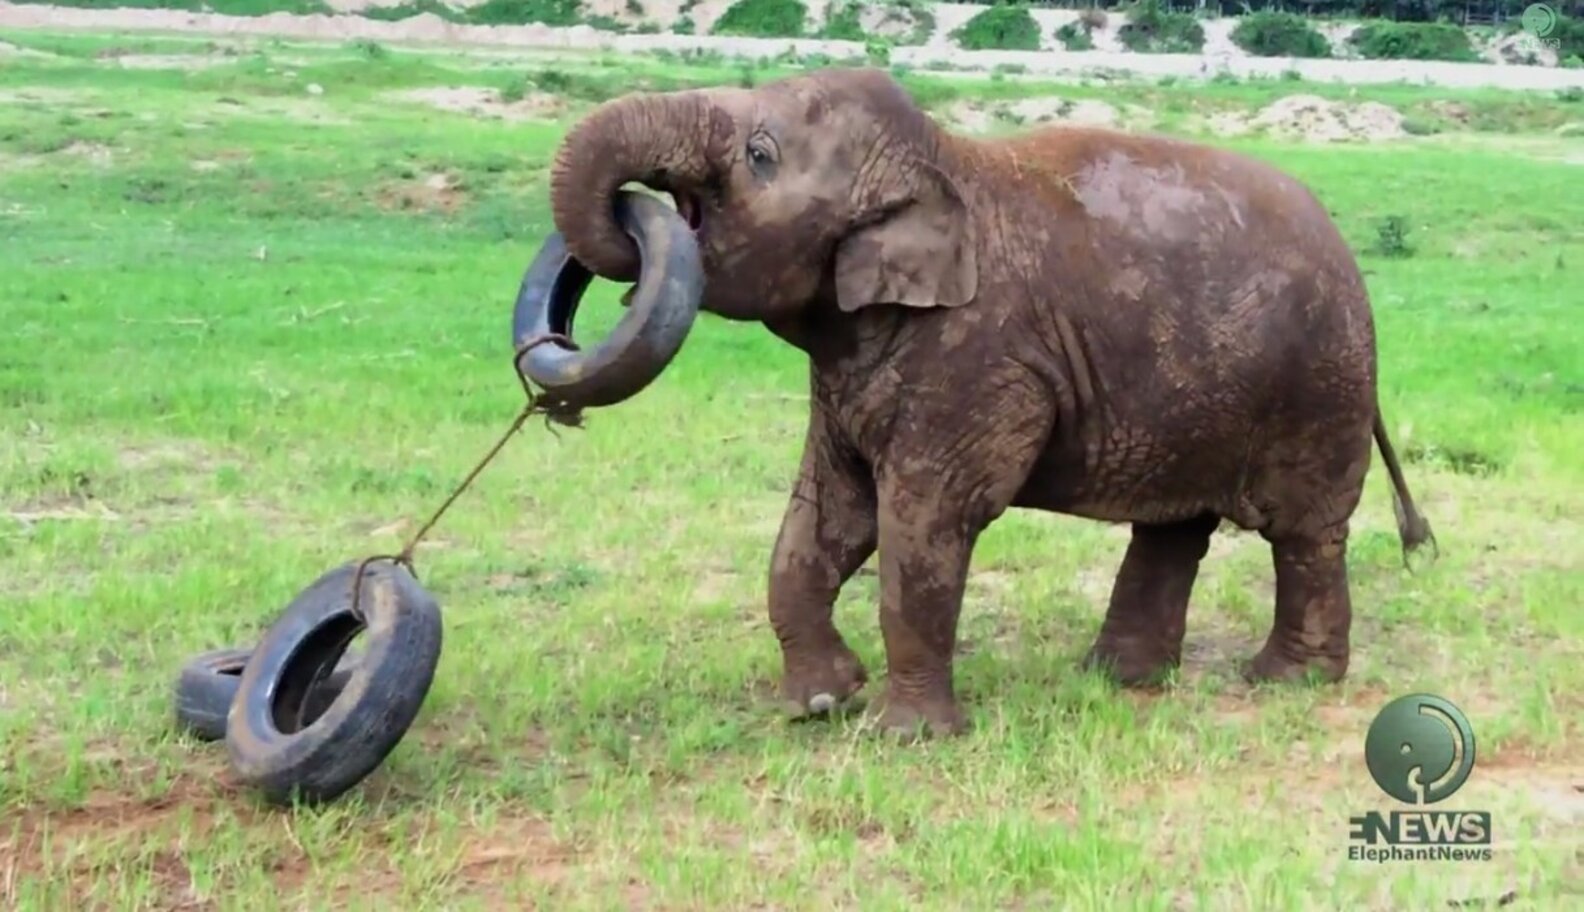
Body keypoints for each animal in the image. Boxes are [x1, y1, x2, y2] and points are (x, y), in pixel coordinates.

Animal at [544, 67, 1435, 738]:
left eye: (760, 154)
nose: (633, 220)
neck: (943, 163)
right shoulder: (848, 373)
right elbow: (826, 515)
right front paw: (819, 704)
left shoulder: (974, 355)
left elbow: (928, 520)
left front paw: (905, 738)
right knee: (1174, 528)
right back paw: (1115, 679)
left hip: (1318, 383)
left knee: (1302, 532)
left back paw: (1284, 683)